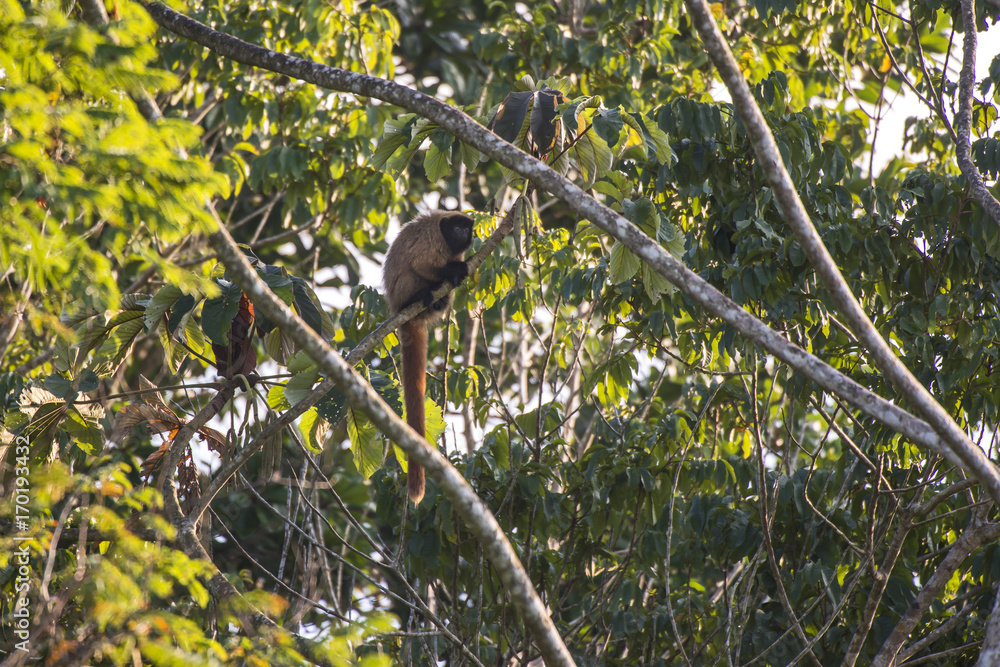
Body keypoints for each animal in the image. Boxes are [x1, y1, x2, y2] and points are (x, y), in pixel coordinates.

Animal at [382, 211, 475, 504]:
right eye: (456, 227)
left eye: (465, 227)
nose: (461, 232)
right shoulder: (431, 239)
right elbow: (420, 264)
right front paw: (452, 270)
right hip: (402, 294)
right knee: (413, 277)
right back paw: (420, 296)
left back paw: (438, 302)